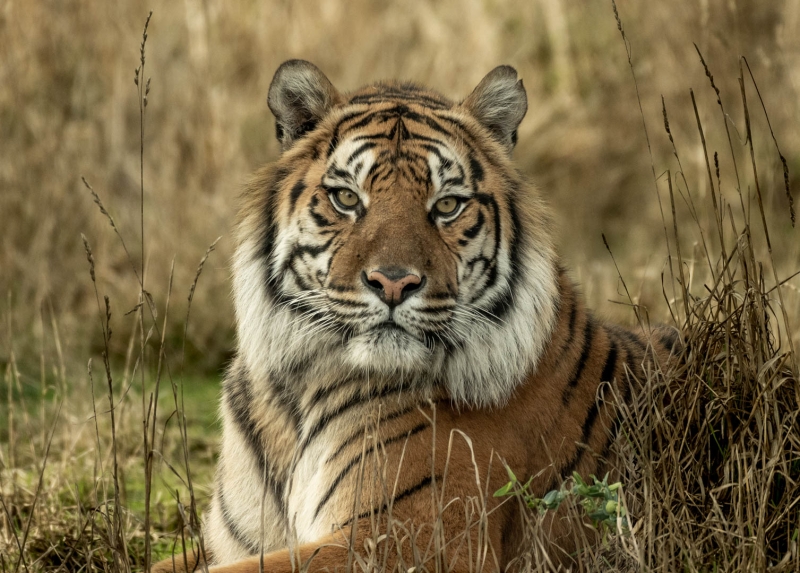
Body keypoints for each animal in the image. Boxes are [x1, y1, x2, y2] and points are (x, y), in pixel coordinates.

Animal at [152, 60, 679, 573]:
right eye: (347, 198)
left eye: (446, 205)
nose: (393, 283)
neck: (296, 394)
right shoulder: (231, 541)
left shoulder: (411, 540)